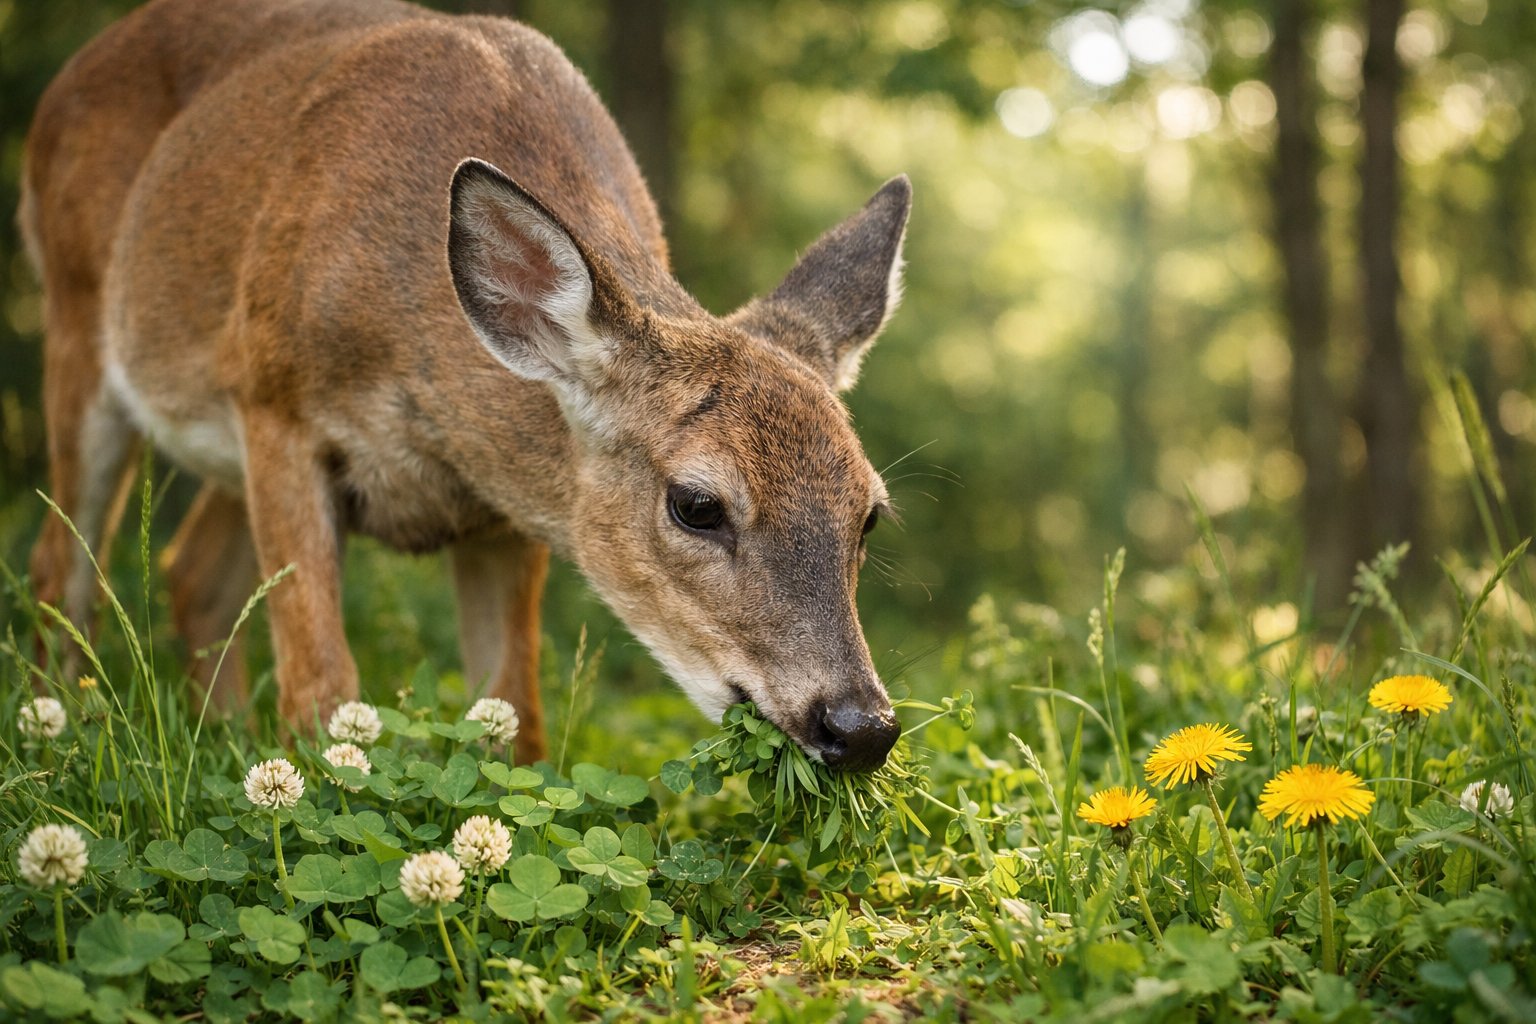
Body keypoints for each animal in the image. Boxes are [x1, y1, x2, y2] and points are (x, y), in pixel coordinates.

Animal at [22, 0, 911, 771]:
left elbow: (516, 721)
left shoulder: (506, 508)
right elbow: (321, 689)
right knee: (59, 566)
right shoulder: (274, 398)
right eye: (697, 504)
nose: (860, 726)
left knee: (193, 573)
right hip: (80, 316)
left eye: (868, 514)